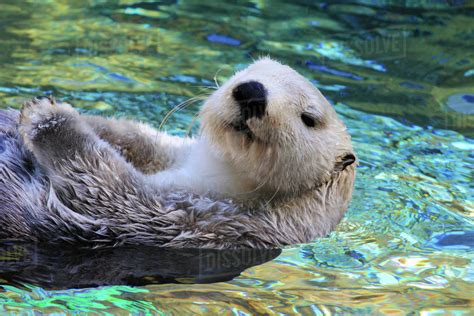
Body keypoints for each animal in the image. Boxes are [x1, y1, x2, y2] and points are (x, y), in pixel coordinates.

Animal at [0, 58, 356, 248]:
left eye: (309, 118)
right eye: (248, 71)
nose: (252, 91)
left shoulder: (204, 219)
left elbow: (105, 187)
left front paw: (49, 116)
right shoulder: (171, 153)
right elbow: (136, 137)